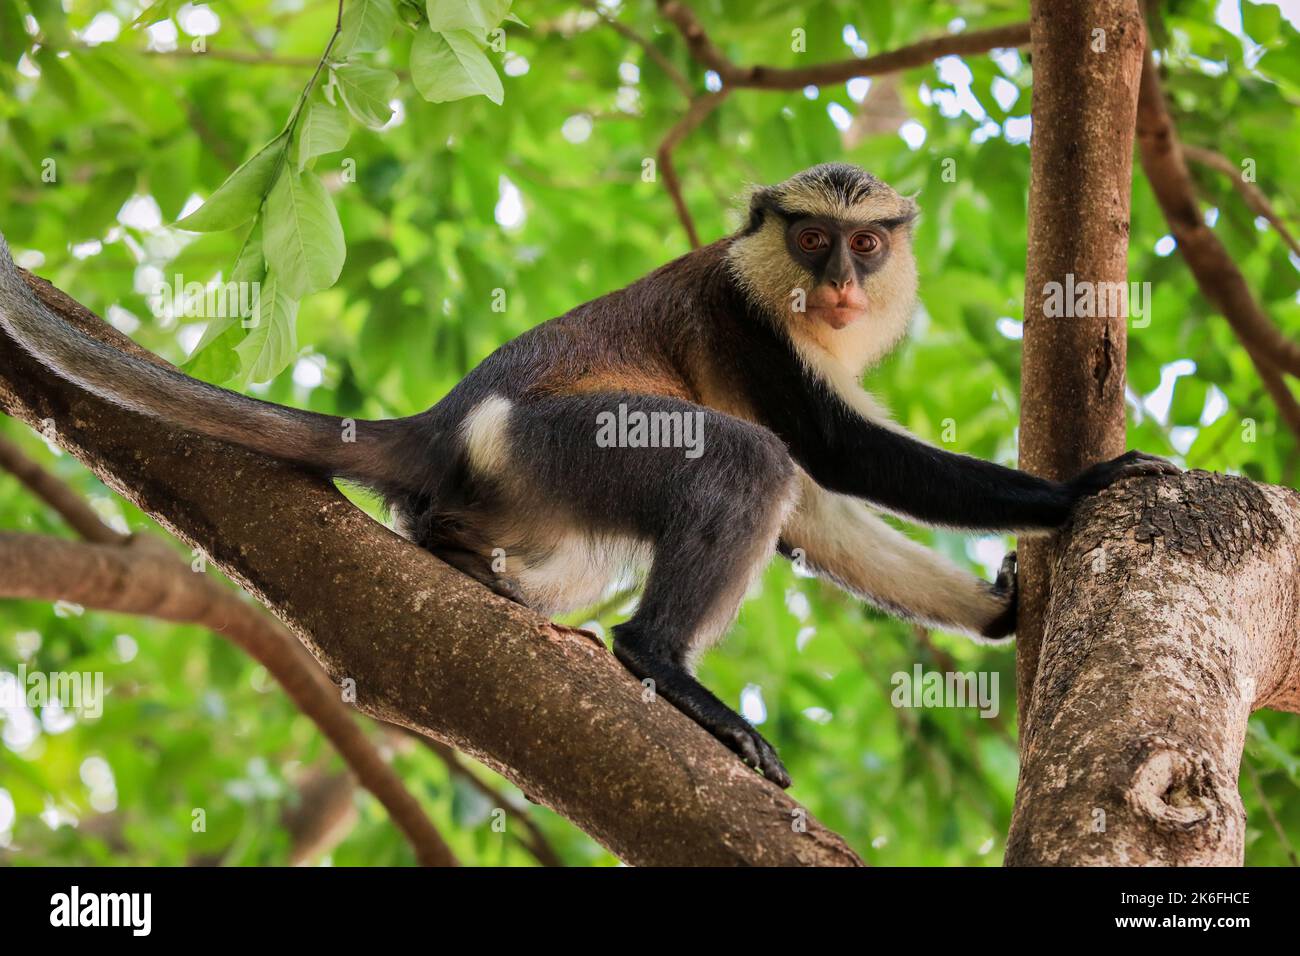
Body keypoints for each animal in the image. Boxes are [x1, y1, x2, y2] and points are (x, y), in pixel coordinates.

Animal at [0, 163, 1177, 788]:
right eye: (810, 238)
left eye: (867, 245)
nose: (842, 282)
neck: (785, 300)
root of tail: (444, 422)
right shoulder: (747, 323)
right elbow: (828, 457)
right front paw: (1081, 491)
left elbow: (816, 509)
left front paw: (995, 610)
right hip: (554, 440)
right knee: (744, 461)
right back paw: (661, 662)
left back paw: (463, 557)